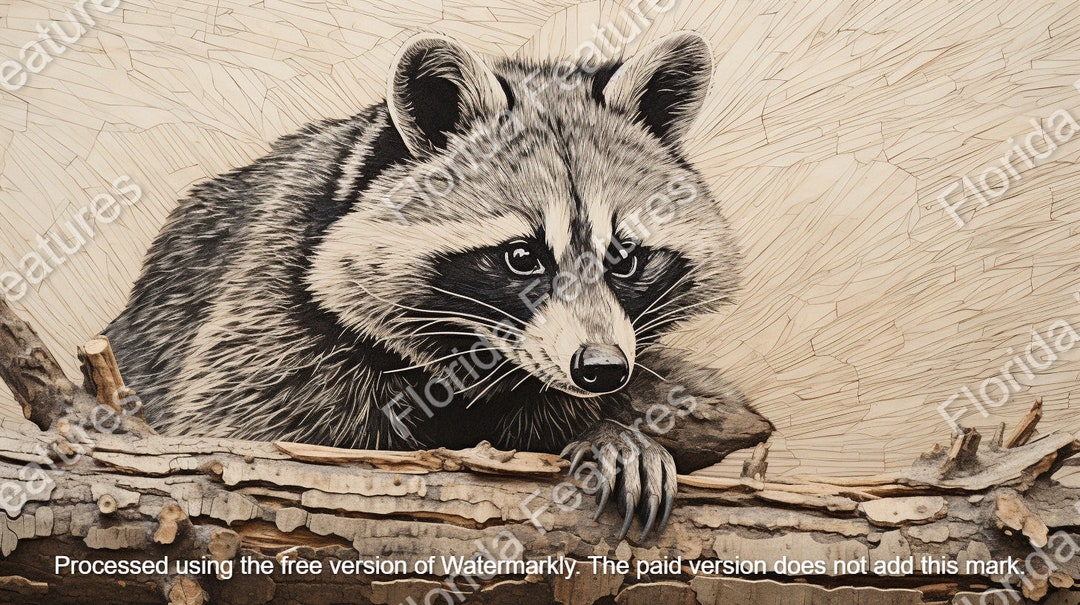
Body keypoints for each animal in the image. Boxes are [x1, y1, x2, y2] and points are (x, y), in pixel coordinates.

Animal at [106, 32, 773, 539]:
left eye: (625, 258)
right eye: (522, 257)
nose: (602, 368)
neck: (476, 366)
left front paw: (611, 433)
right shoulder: (267, 333)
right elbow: (246, 431)